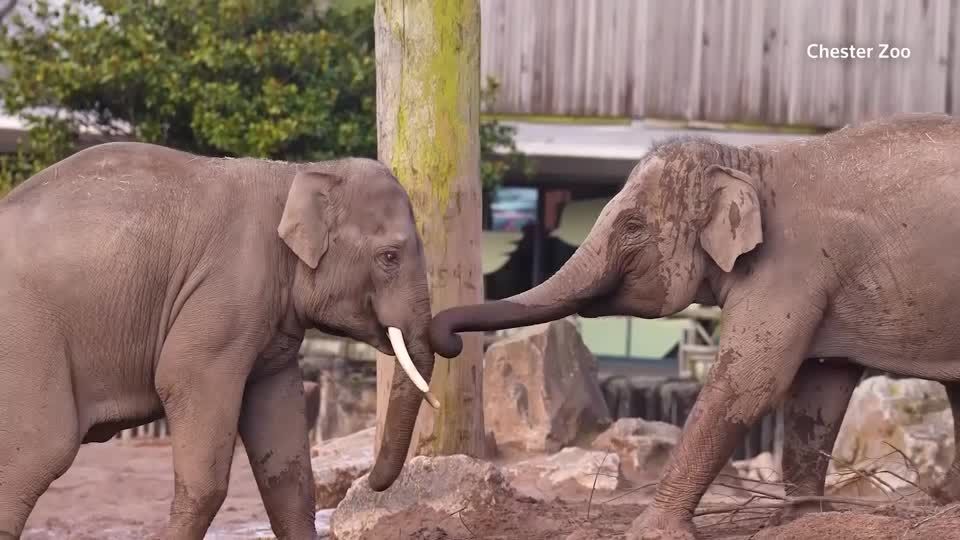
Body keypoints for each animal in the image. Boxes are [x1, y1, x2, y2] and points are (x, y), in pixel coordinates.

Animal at [0, 142, 439, 539]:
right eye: (389, 257)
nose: (373, 484)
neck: (299, 173)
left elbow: (286, 463)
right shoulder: (227, 290)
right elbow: (184, 381)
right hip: (28, 336)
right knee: (39, 454)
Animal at [430, 113, 960, 538]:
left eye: (632, 227)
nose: (446, 339)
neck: (751, 161)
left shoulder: (791, 265)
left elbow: (751, 382)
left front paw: (651, 531)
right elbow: (818, 391)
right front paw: (801, 521)